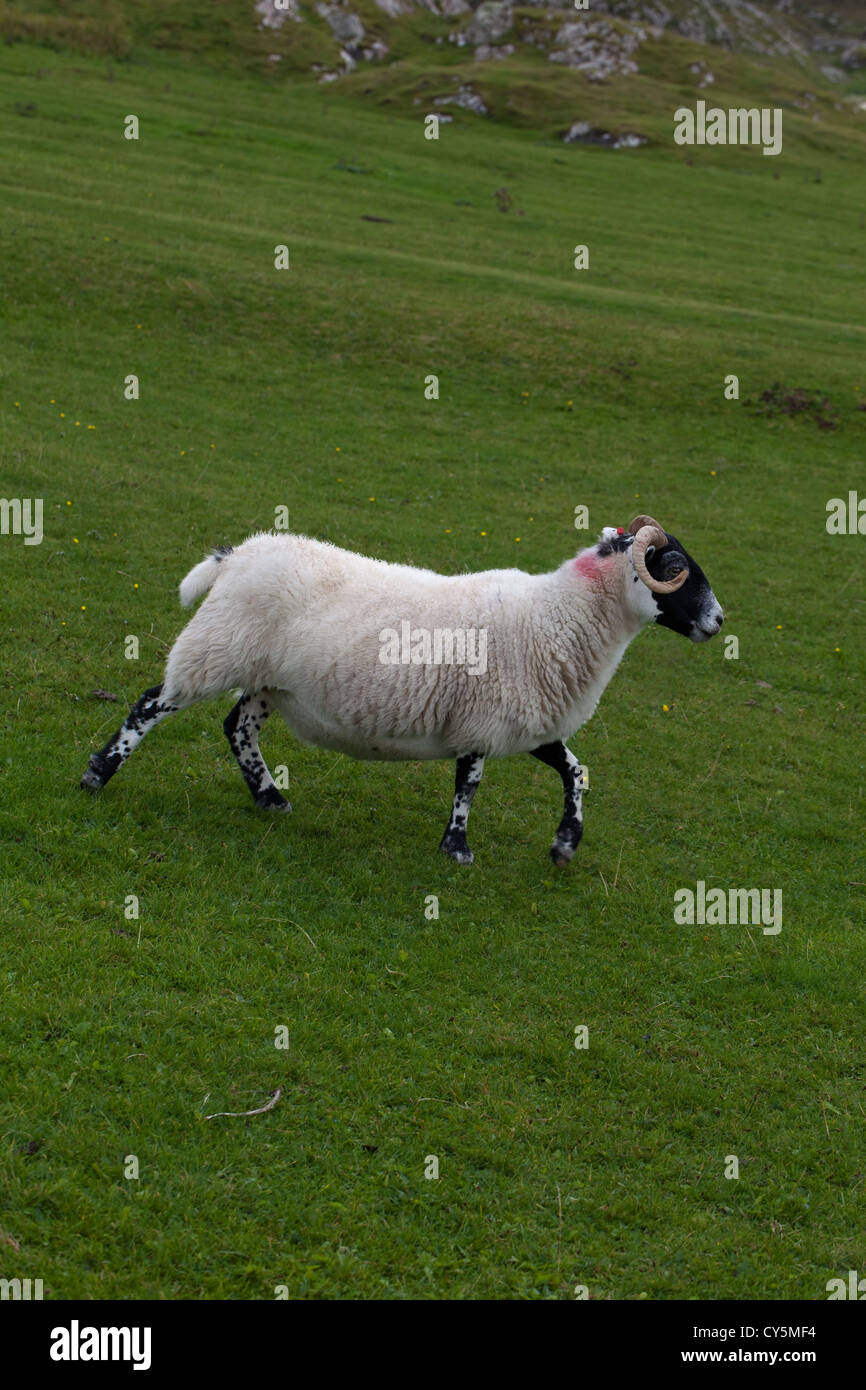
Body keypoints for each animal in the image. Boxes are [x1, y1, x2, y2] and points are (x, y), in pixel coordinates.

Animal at [80, 514, 723, 864]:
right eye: (675, 566)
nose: (718, 621)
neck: (559, 614)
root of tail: (237, 553)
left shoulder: (529, 721)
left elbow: (576, 771)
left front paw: (566, 844)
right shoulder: (483, 718)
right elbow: (469, 783)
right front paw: (457, 849)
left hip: (267, 676)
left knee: (236, 726)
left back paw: (269, 798)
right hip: (216, 648)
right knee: (150, 704)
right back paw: (97, 776)